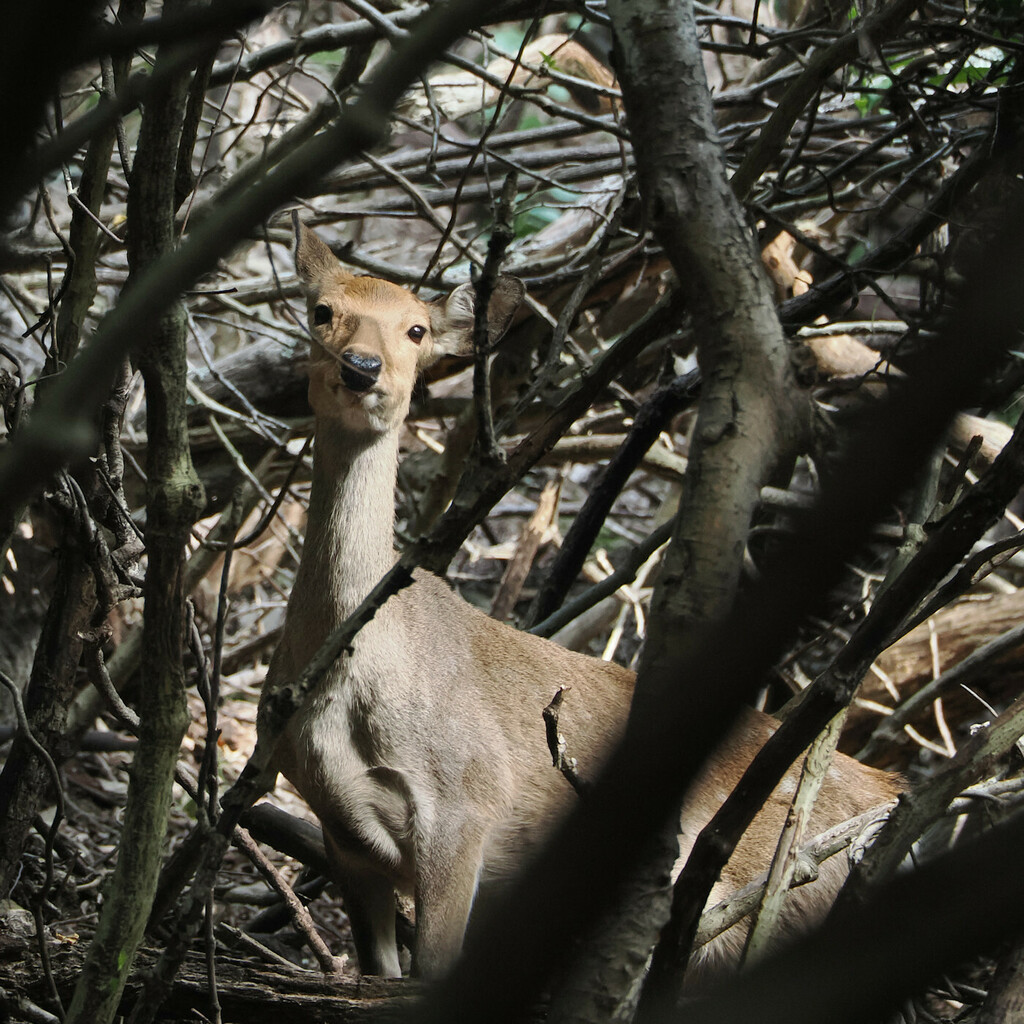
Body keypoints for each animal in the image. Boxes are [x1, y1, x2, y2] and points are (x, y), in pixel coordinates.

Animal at [259, 221, 902, 981]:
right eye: (322, 310)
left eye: (416, 329)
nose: (362, 368)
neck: (352, 681)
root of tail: (888, 790)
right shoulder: (342, 833)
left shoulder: (467, 803)